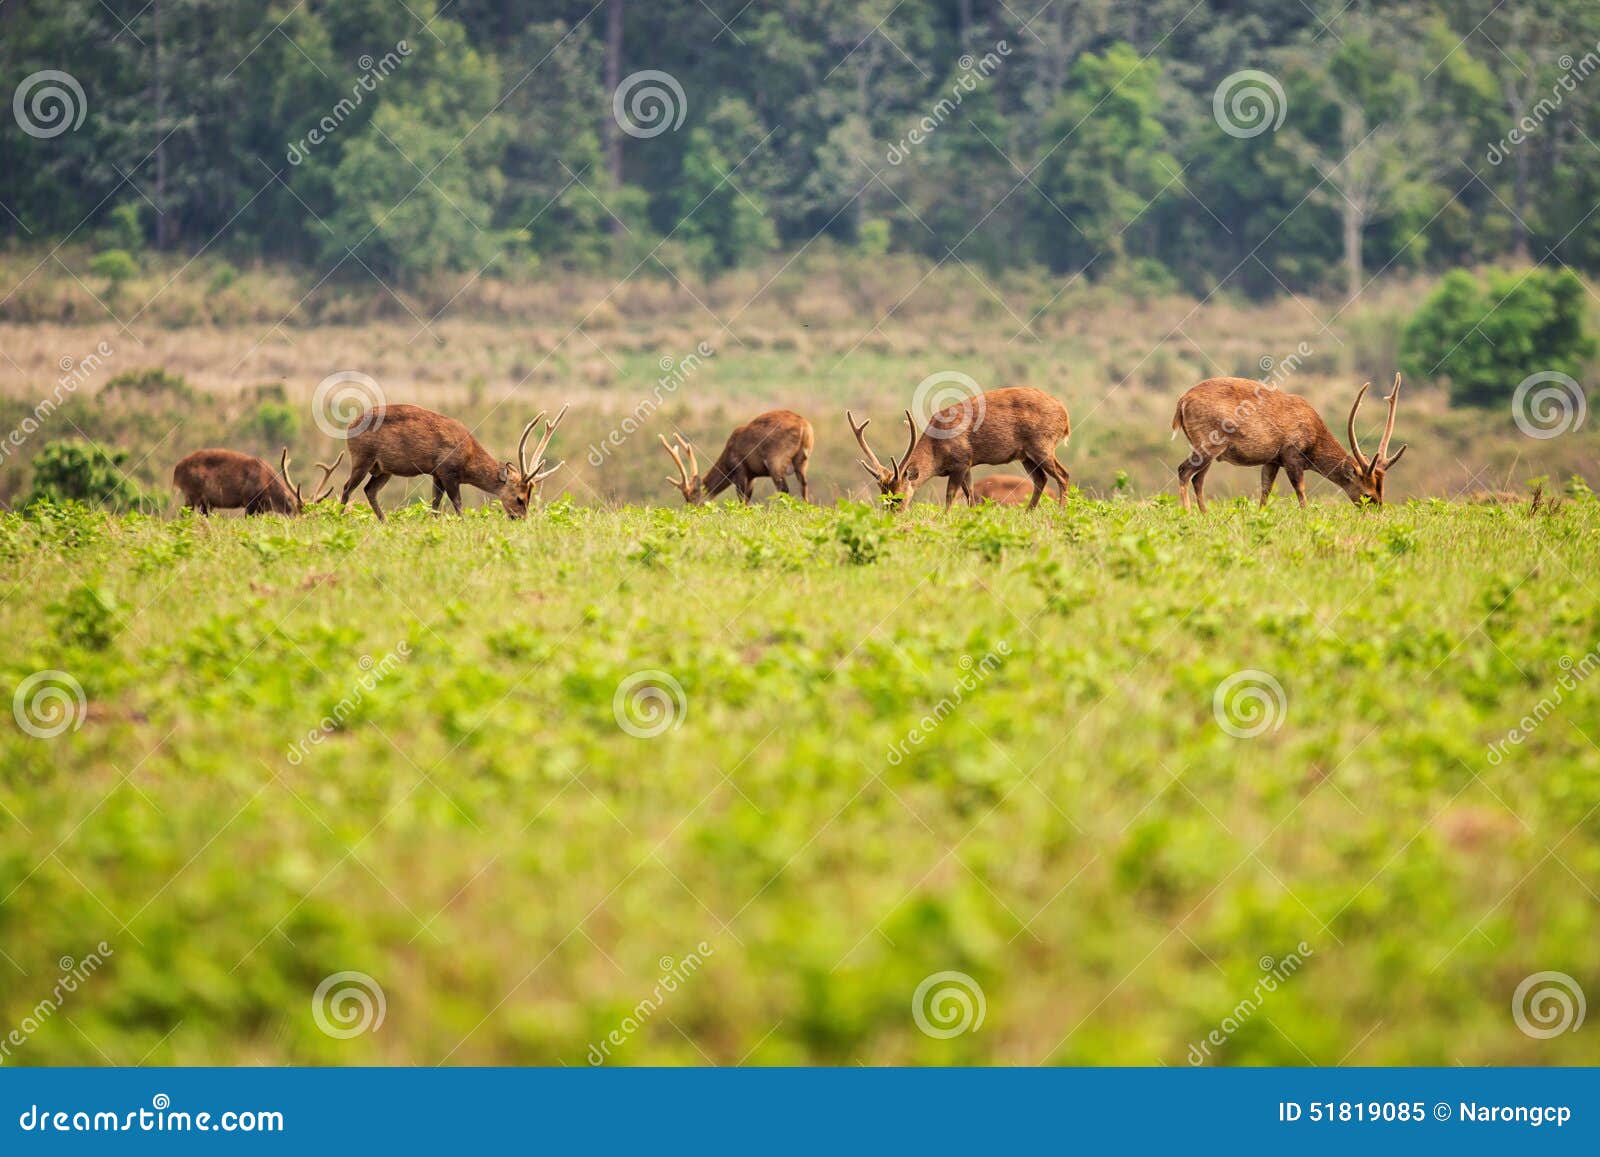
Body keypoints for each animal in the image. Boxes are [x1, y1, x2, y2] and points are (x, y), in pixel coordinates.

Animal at [173, 448, 344, 516]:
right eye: (296, 511)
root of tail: (176, 471)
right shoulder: (249, 501)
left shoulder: (261, 508)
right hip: (191, 493)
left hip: (205, 502)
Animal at [337, 403, 566, 520]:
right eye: (519, 498)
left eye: (529, 498)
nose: (521, 519)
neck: (469, 460)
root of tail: (350, 425)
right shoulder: (448, 470)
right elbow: (457, 504)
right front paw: (463, 524)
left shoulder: (436, 474)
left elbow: (435, 504)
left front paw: (433, 523)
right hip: (362, 457)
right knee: (347, 487)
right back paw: (338, 517)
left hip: (384, 469)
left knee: (369, 490)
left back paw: (384, 522)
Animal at [660, 410, 814, 504]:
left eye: (692, 497)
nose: (692, 512)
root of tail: (805, 427)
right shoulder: (752, 476)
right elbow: (747, 499)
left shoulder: (739, 469)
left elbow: (741, 501)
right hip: (802, 461)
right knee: (804, 486)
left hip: (776, 459)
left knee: (784, 490)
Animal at [848, 386, 1070, 510]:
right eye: (882, 496)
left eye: (899, 497)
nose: (891, 517)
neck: (937, 452)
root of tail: (1064, 413)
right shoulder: (968, 464)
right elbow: (970, 495)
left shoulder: (960, 462)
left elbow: (950, 497)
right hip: (1026, 455)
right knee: (1041, 480)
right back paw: (1027, 513)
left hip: (1042, 444)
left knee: (1063, 474)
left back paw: (1060, 512)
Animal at [1171, 374, 1407, 510]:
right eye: (1367, 494)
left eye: (1382, 492)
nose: (1378, 513)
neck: (1314, 444)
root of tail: (1181, 401)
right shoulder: (1291, 454)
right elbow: (1300, 490)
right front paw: (1306, 517)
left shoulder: (1272, 459)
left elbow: (1265, 490)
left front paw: (1261, 515)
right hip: (1208, 443)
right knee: (1184, 470)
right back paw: (1187, 514)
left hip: (1207, 448)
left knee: (1198, 479)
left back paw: (1204, 514)